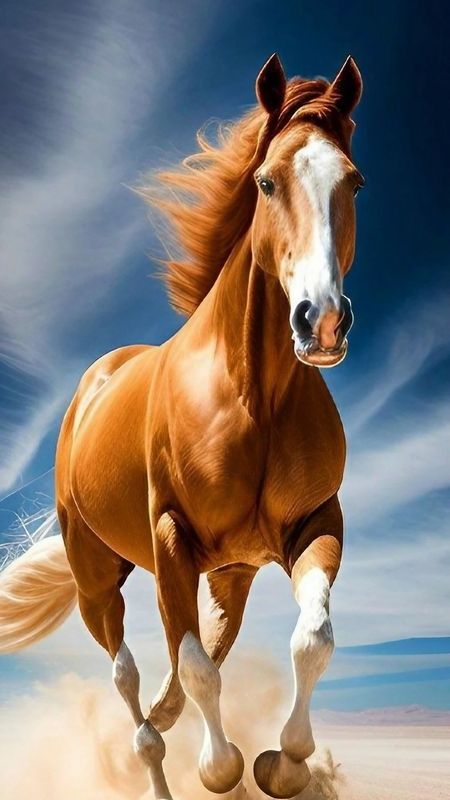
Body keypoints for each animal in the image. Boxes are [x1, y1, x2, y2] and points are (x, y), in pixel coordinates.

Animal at [0, 53, 364, 799]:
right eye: (266, 181)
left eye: (354, 181)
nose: (322, 322)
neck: (252, 397)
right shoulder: (171, 538)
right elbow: (197, 668)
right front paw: (221, 768)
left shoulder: (315, 524)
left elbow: (310, 640)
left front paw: (283, 763)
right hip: (97, 579)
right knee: (136, 694)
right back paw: (156, 746)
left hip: (231, 573)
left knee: (186, 672)